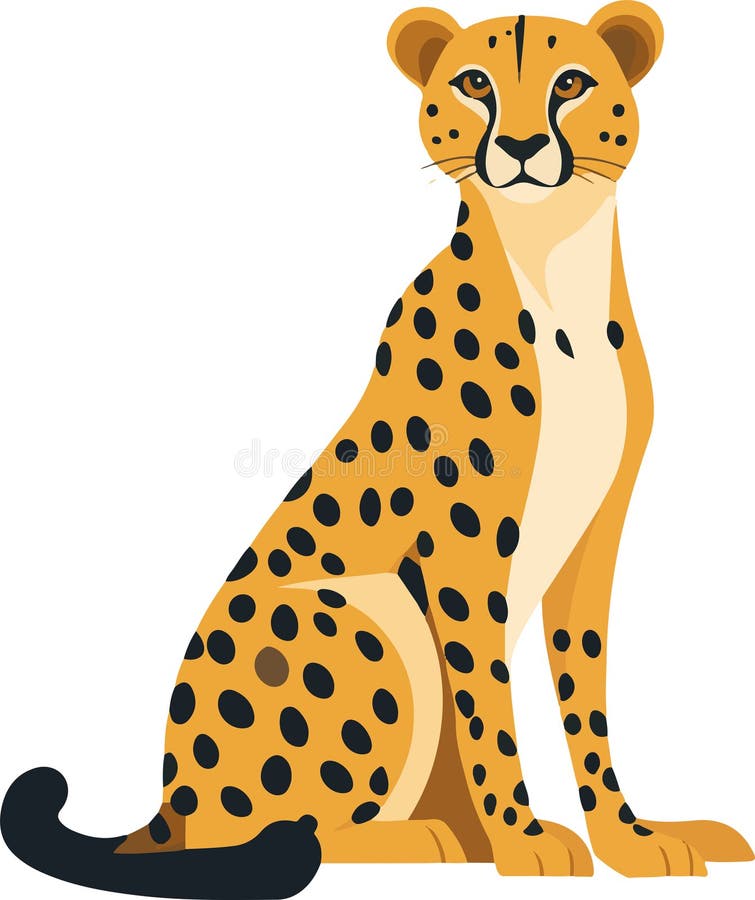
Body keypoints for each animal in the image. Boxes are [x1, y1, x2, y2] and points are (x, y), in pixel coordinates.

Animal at [3, 3, 753, 897]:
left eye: (570, 82)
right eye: (474, 82)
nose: (522, 146)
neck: (549, 268)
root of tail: (169, 803)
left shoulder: (591, 542)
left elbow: (585, 699)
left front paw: (632, 839)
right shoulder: (464, 550)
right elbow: (489, 708)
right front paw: (522, 840)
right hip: (360, 610)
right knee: (273, 833)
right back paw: (425, 838)